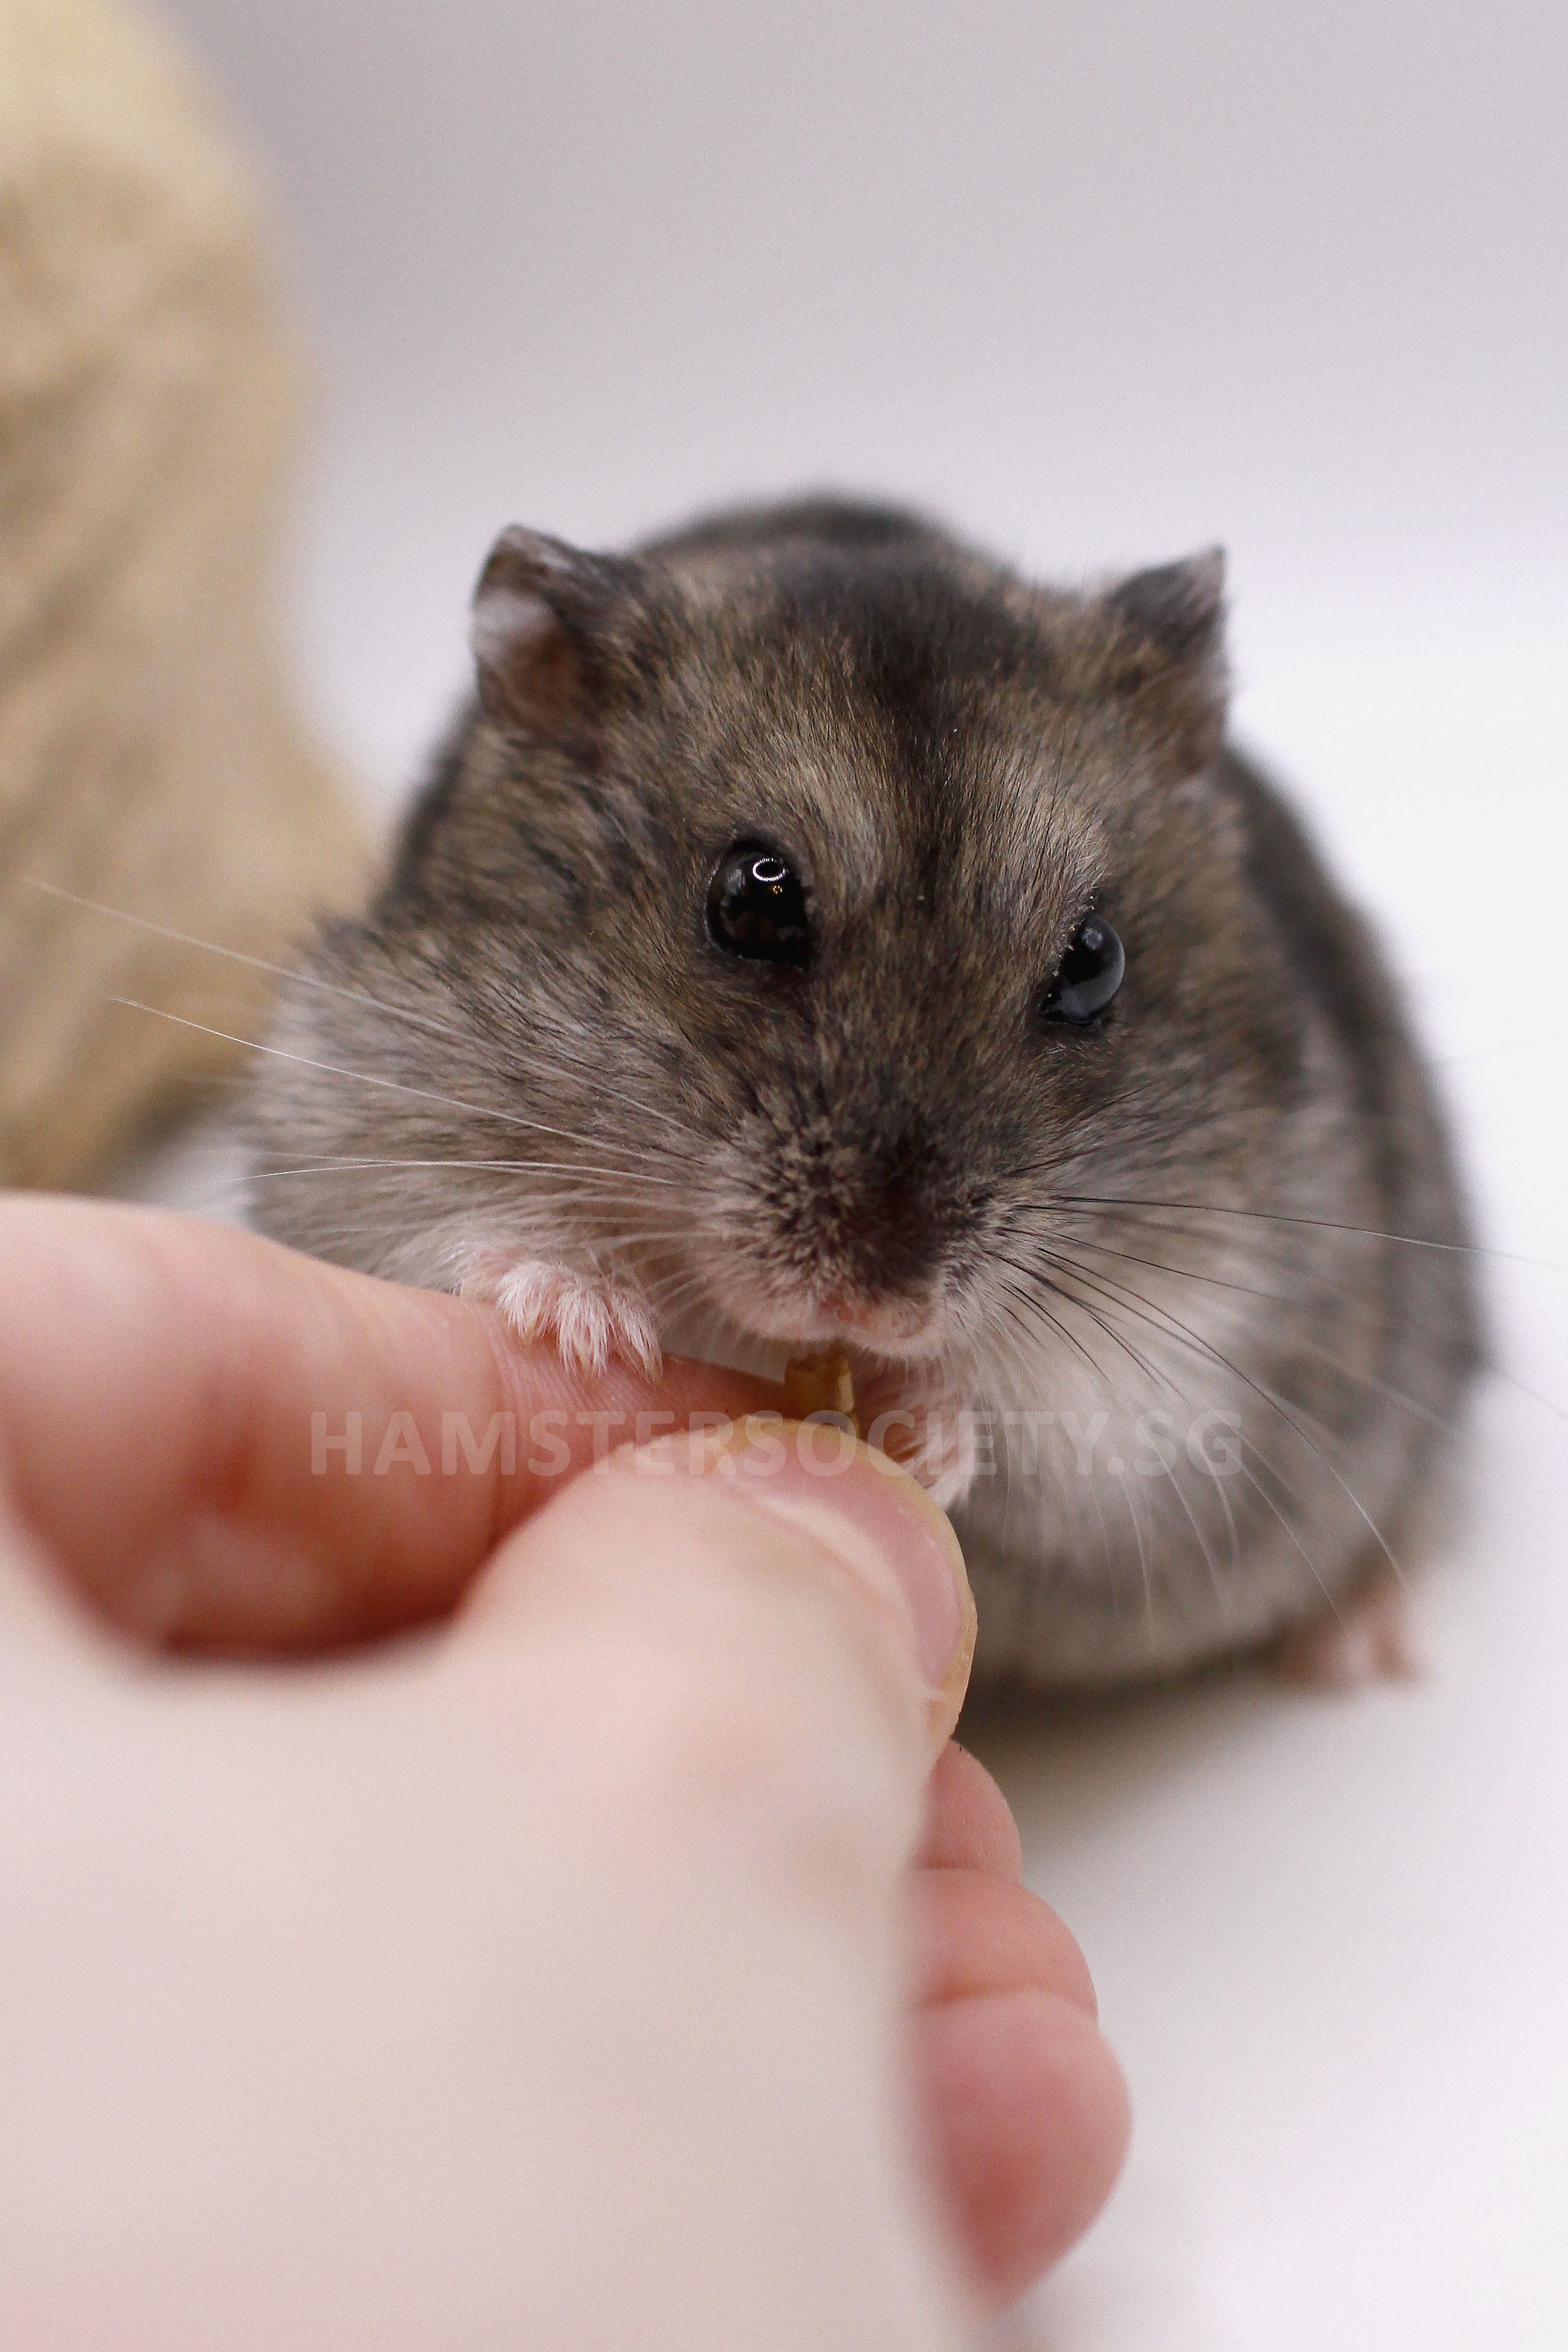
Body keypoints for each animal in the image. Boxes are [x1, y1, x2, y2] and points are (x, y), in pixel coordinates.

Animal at [247, 498, 1479, 1691]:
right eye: (751, 900)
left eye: (1095, 960)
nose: (874, 1304)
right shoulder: (352, 1100)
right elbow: (447, 1234)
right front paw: (582, 1325)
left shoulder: (1205, 1341)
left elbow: (1068, 1419)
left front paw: (917, 1424)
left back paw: (1358, 1646)